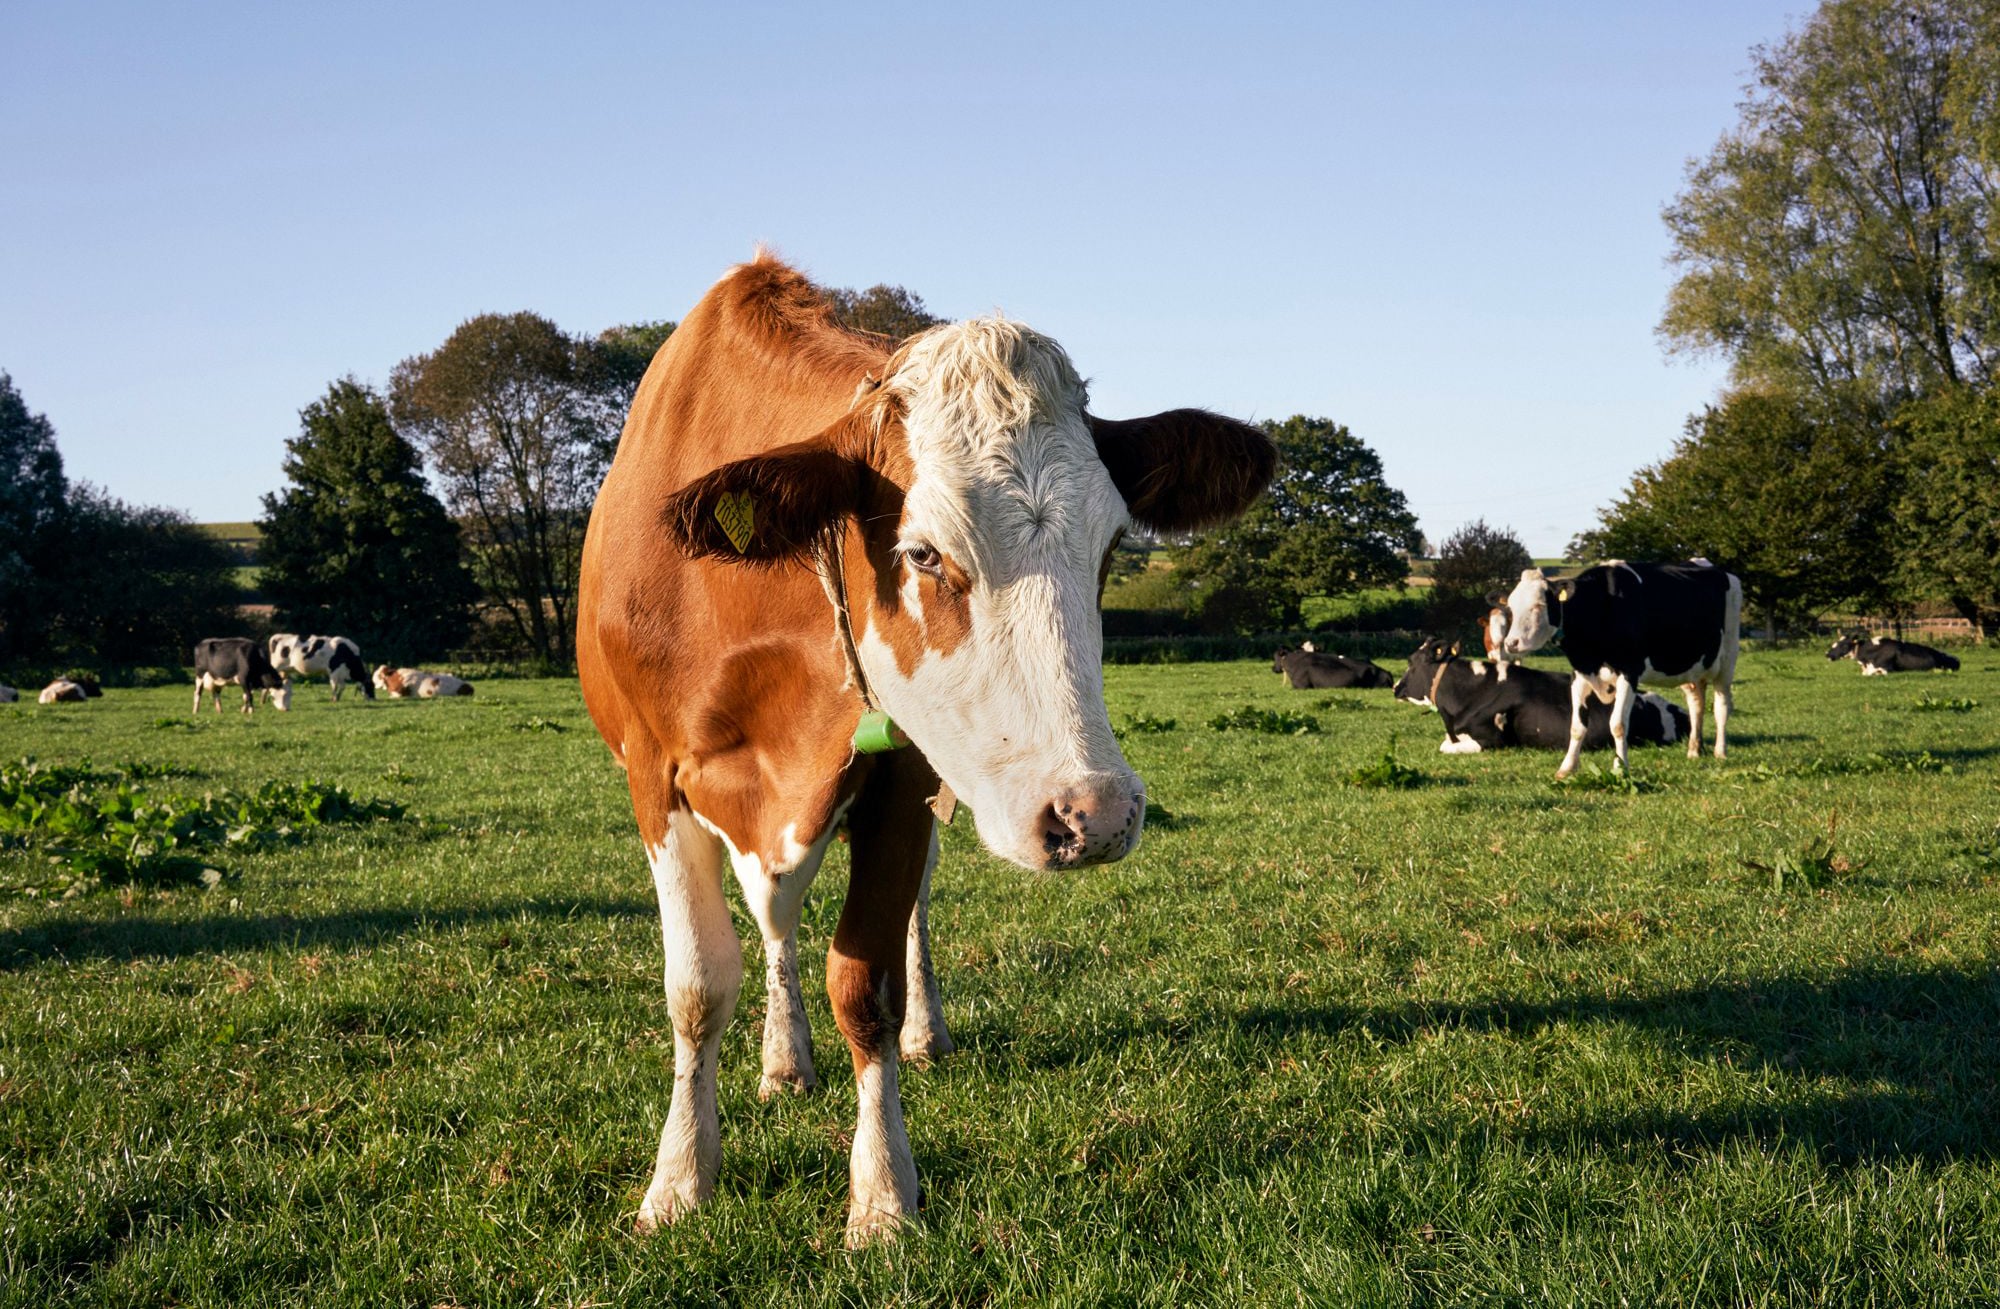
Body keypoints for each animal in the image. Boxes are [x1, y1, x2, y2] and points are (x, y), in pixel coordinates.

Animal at [576, 253, 1274, 1246]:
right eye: (922, 553)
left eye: (1109, 549)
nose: (1094, 812)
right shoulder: (653, 774)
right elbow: (700, 987)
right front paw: (679, 1178)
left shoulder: (904, 776)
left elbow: (865, 984)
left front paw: (881, 1196)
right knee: (774, 921)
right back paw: (783, 1058)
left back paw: (920, 1036)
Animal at [1500, 560, 1741, 778]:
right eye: (1511, 608)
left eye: (1539, 605)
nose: (1511, 643)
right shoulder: (1580, 674)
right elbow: (1576, 727)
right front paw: (1566, 768)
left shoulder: (1629, 673)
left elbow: (1618, 724)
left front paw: (1620, 766)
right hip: (1692, 669)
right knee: (1696, 704)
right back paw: (1694, 750)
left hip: (1727, 661)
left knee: (1721, 707)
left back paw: (1720, 751)